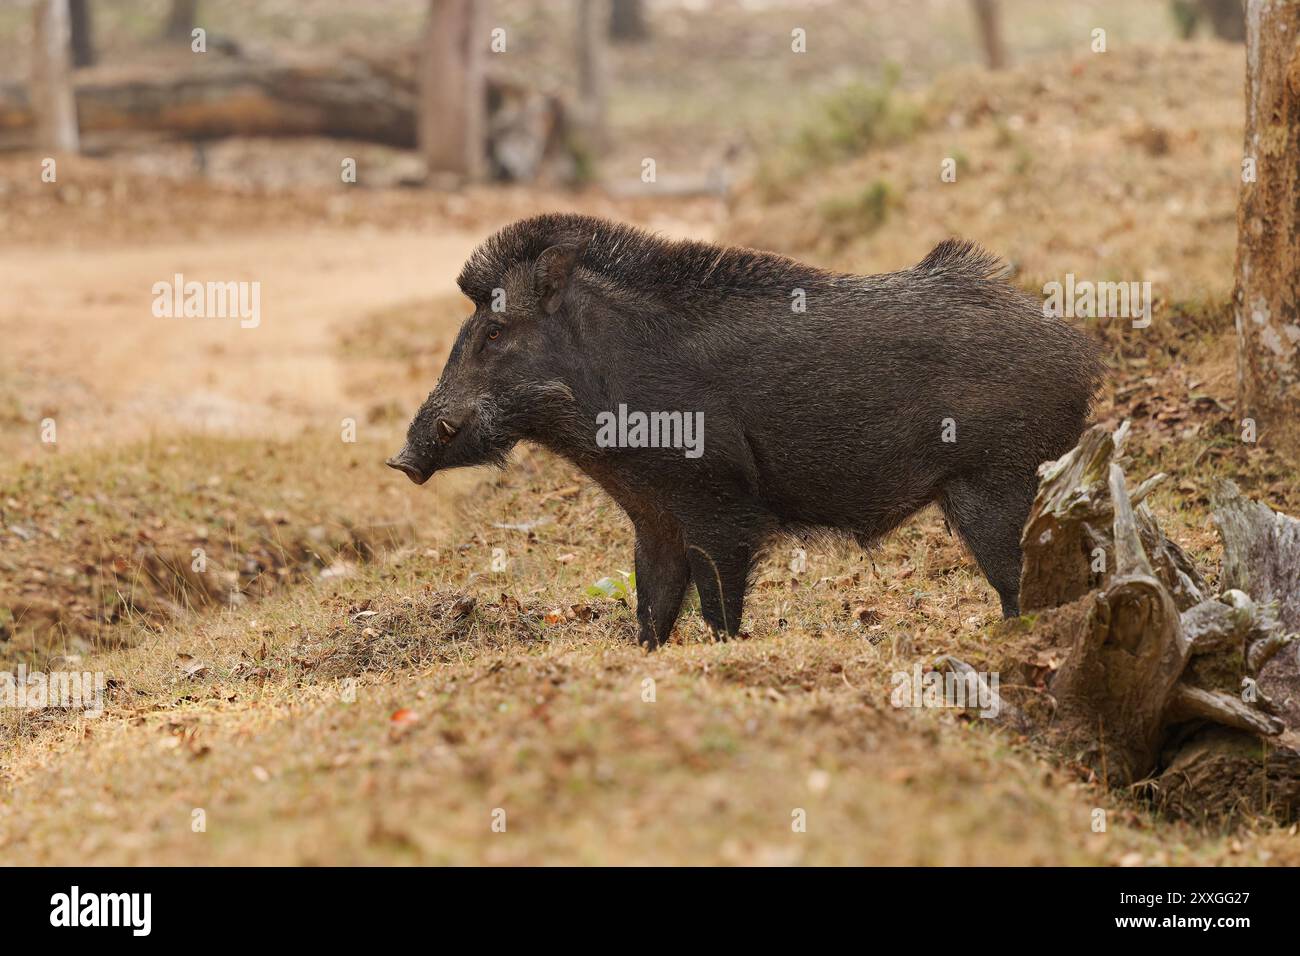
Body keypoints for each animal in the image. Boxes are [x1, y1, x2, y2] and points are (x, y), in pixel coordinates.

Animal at [388, 213, 1105, 648]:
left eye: (495, 331)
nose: (402, 459)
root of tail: (1084, 357)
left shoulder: (719, 506)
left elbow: (717, 609)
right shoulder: (655, 519)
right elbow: (651, 611)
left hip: (999, 483)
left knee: (1025, 580)